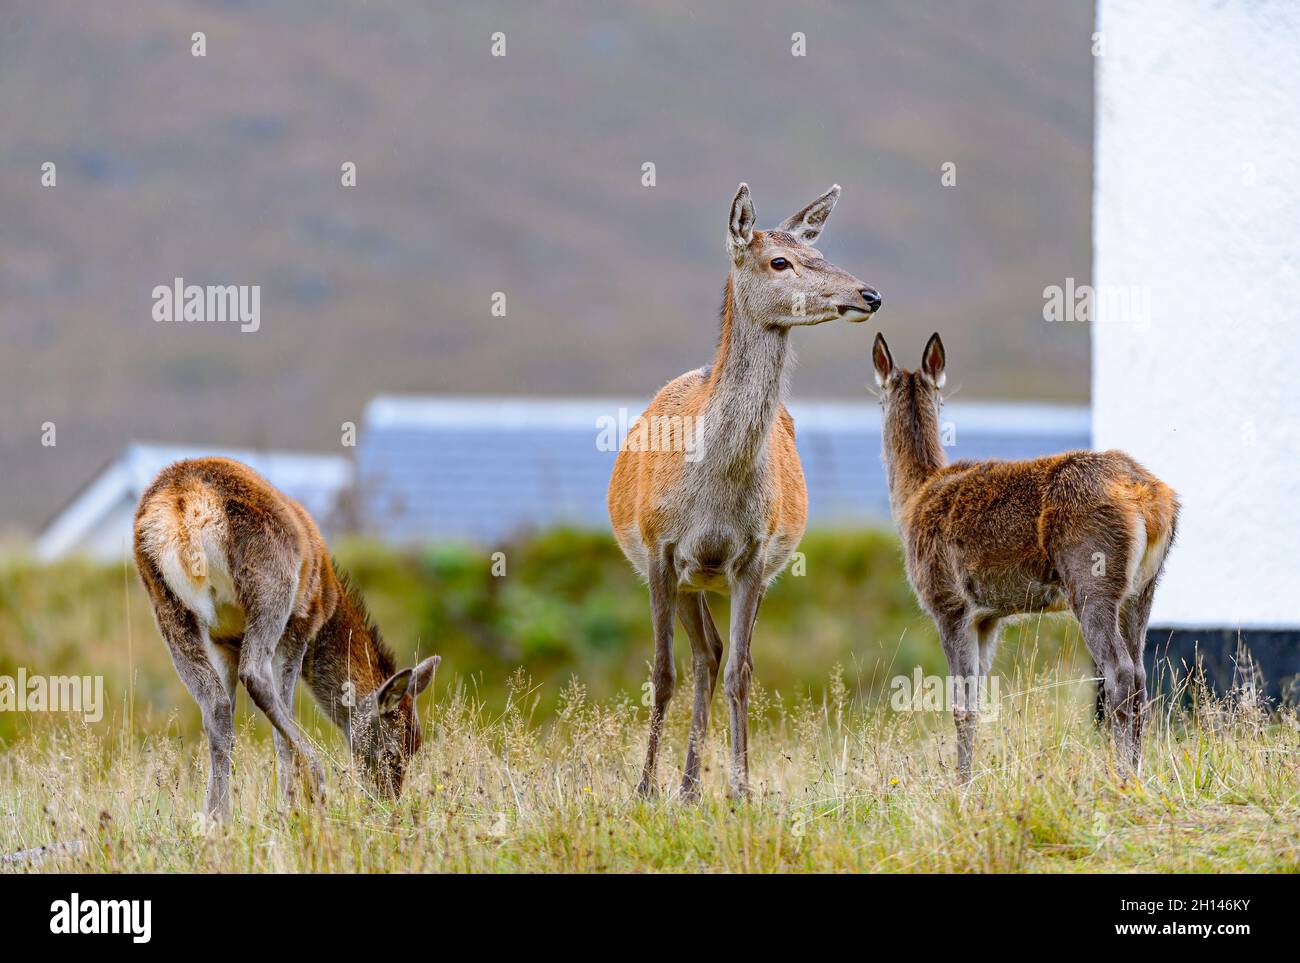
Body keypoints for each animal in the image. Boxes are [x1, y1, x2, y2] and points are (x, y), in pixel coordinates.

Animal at [133, 457, 440, 819]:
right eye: (393, 751)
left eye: (415, 747)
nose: (387, 802)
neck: (330, 600)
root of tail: (184, 503)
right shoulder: (300, 626)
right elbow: (283, 715)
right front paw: (292, 805)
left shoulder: (223, 640)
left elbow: (224, 712)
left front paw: (218, 814)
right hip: (272, 586)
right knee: (255, 675)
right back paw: (315, 776)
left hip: (165, 604)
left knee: (215, 706)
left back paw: (217, 817)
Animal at [608, 182, 882, 801]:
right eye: (779, 261)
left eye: (820, 253)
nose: (870, 293)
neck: (714, 493)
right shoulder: (659, 549)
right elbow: (661, 671)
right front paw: (643, 788)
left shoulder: (754, 555)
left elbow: (742, 670)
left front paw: (740, 788)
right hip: (683, 575)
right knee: (697, 655)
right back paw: (680, 786)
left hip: (710, 578)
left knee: (712, 654)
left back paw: (692, 786)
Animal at [871, 332, 1178, 781]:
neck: (915, 498)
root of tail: (1152, 500)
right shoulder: (988, 618)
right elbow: (978, 699)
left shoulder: (948, 604)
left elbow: (960, 706)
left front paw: (960, 784)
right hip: (1144, 588)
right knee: (1140, 673)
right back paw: (1136, 771)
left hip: (1092, 576)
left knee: (1120, 673)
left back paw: (1121, 776)